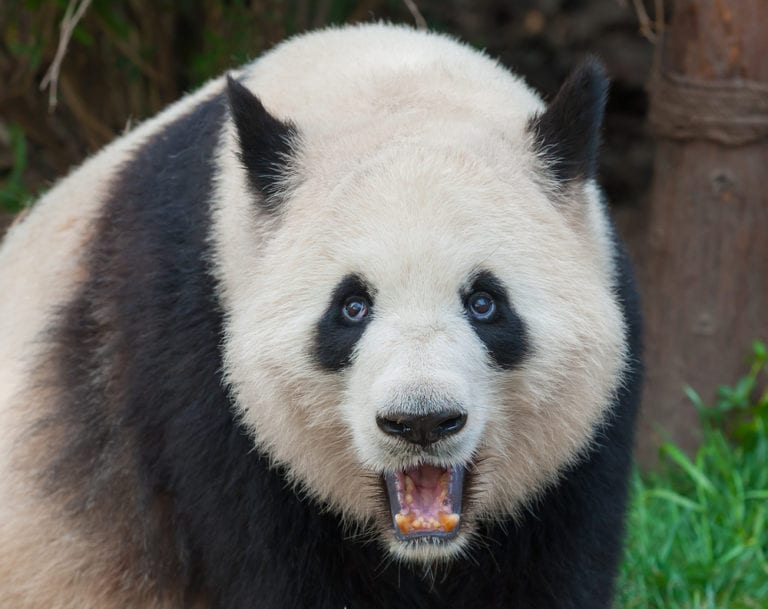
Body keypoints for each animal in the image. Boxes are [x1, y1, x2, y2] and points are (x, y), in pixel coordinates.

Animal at [0, 23, 641, 609]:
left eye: (484, 302)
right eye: (352, 307)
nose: (421, 422)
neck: (390, 81)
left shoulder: (588, 440)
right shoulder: (193, 364)